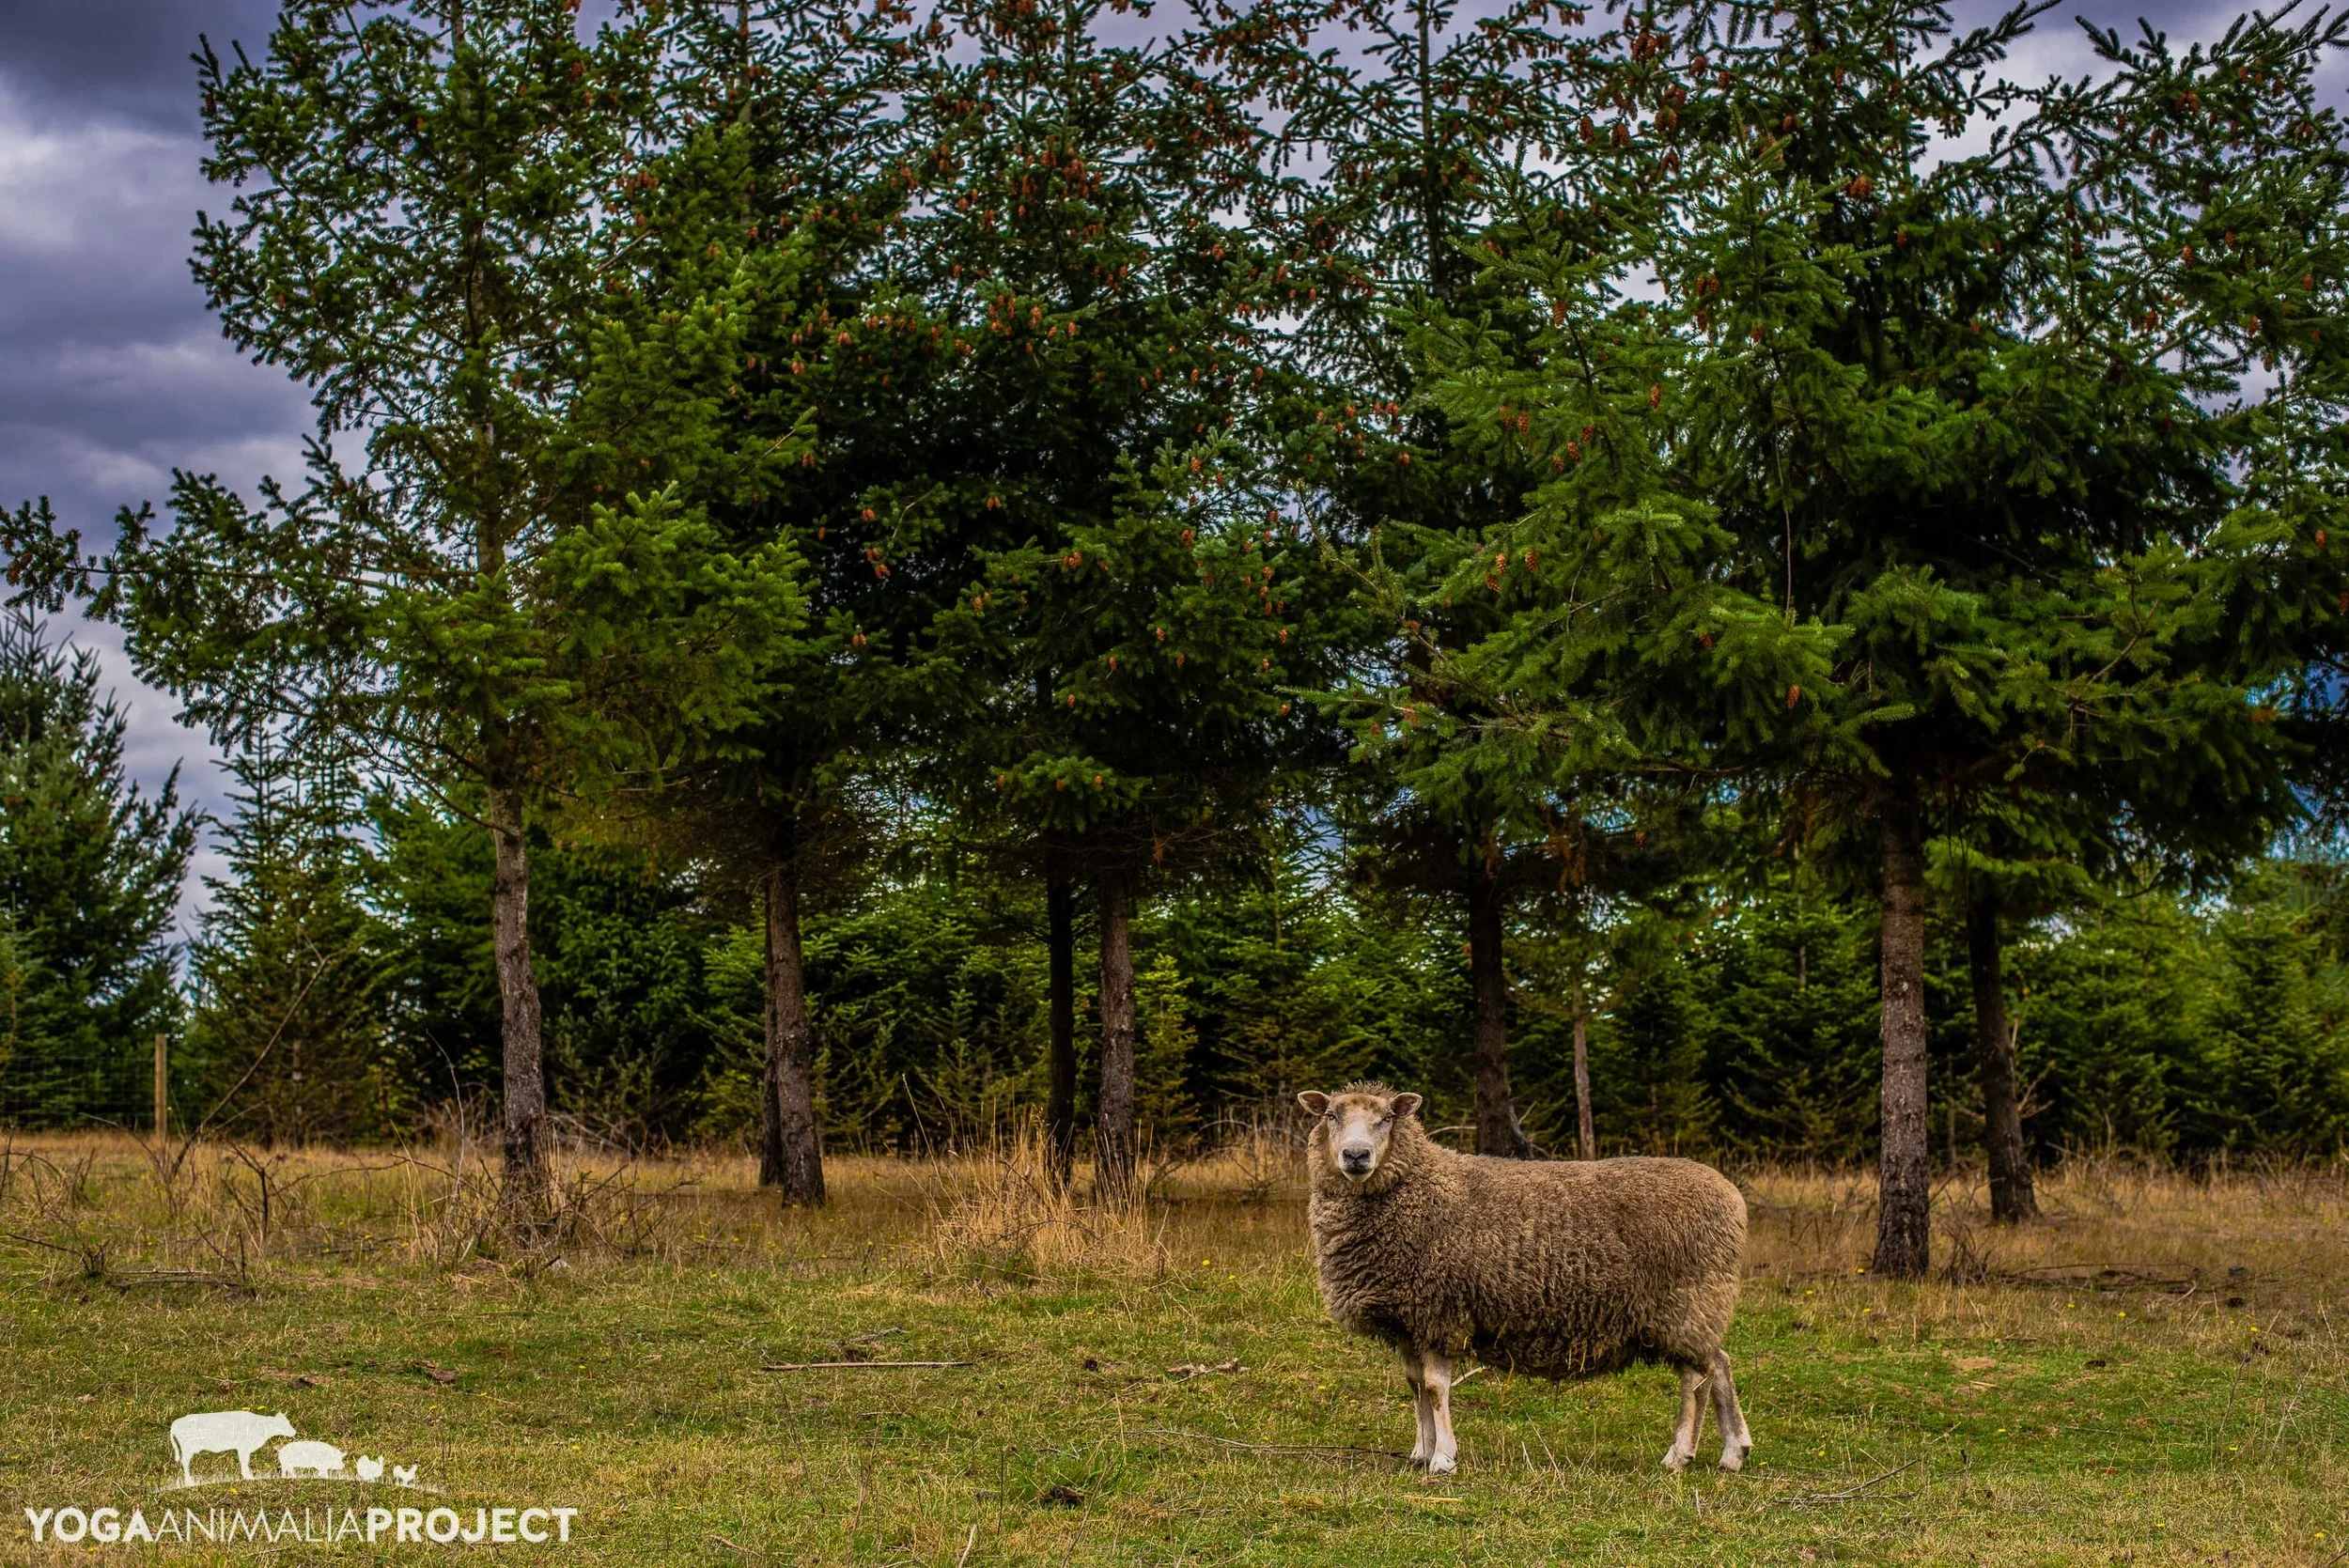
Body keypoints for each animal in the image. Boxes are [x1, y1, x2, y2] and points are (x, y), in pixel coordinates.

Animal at [1298, 1082, 1751, 1476]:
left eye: (1387, 1118)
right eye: (1331, 1115)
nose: (1356, 1156)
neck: (1418, 1187)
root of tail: (1732, 1196)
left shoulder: (1441, 1311)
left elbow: (1435, 1388)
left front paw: (1443, 1458)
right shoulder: (1408, 1321)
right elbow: (1415, 1387)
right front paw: (1421, 1451)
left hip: (1687, 1303)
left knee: (1697, 1379)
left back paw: (1680, 1455)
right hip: (1696, 1309)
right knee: (1720, 1365)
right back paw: (1734, 1452)